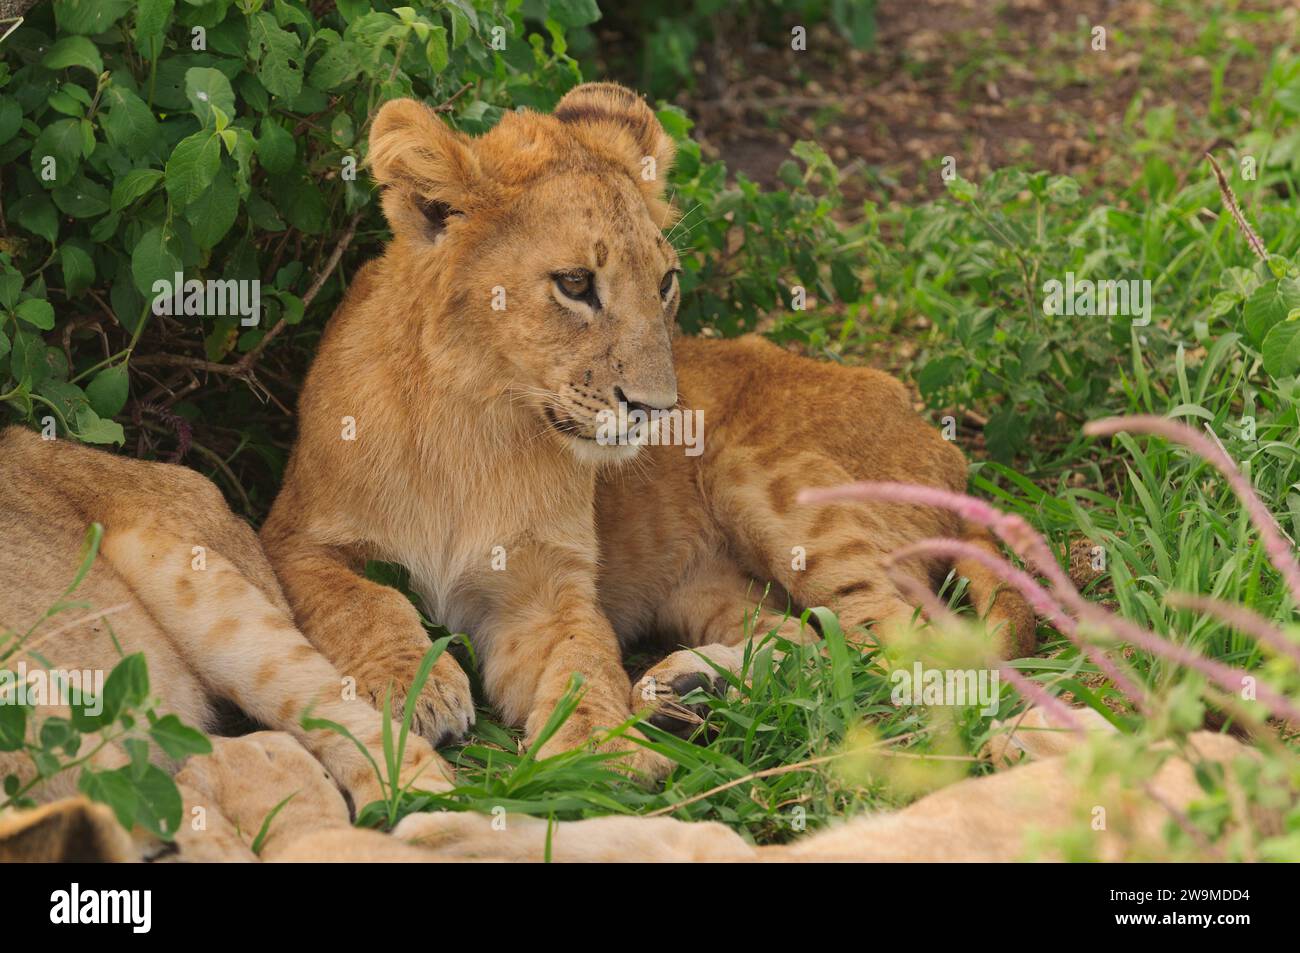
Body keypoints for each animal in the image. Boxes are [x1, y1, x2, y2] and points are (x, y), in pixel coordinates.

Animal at [260, 82, 1036, 778]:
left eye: (665, 281)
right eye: (575, 283)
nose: (660, 408)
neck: (479, 424)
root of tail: (942, 447)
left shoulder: (547, 589)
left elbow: (583, 659)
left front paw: (600, 750)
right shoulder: (292, 537)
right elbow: (361, 597)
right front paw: (412, 688)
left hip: (765, 477)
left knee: (909, 648)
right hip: (707, 585)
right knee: (816, 640)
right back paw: (688, 693)